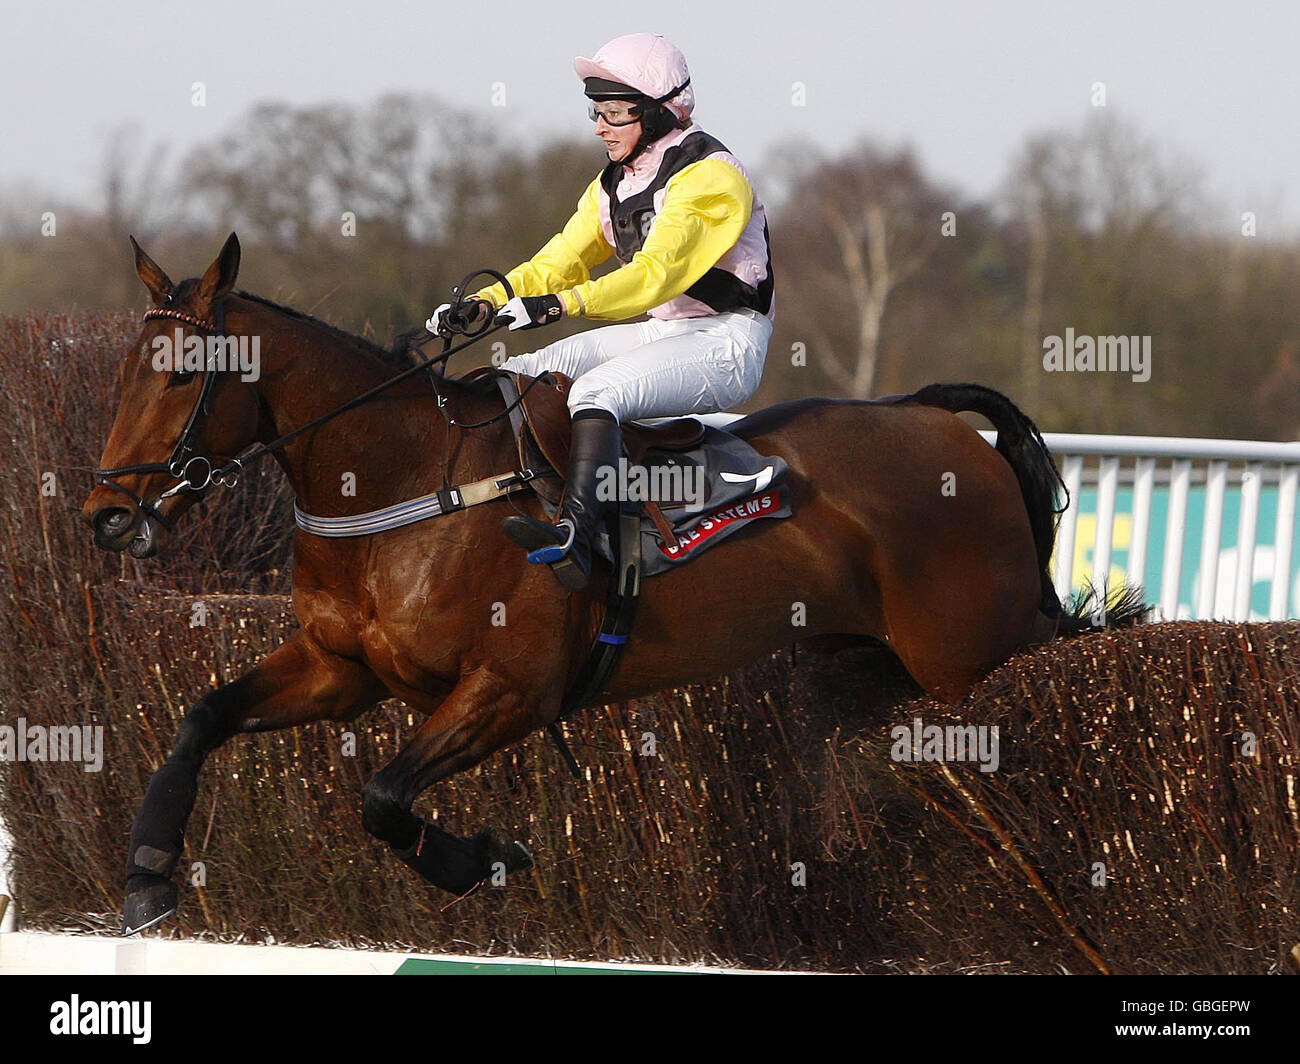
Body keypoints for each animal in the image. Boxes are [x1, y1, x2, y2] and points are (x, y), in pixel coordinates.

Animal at [84, 233, 1129, 934]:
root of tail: (937, 419)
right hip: (881, 663)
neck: (408, 484)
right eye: (128, 370)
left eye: (182, 377)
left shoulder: (510, 689)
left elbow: (381, 796)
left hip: (974, 649)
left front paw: (484, 858)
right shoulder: (342, 671)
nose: (103, 515)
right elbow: (200, 718)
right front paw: (148, 875)